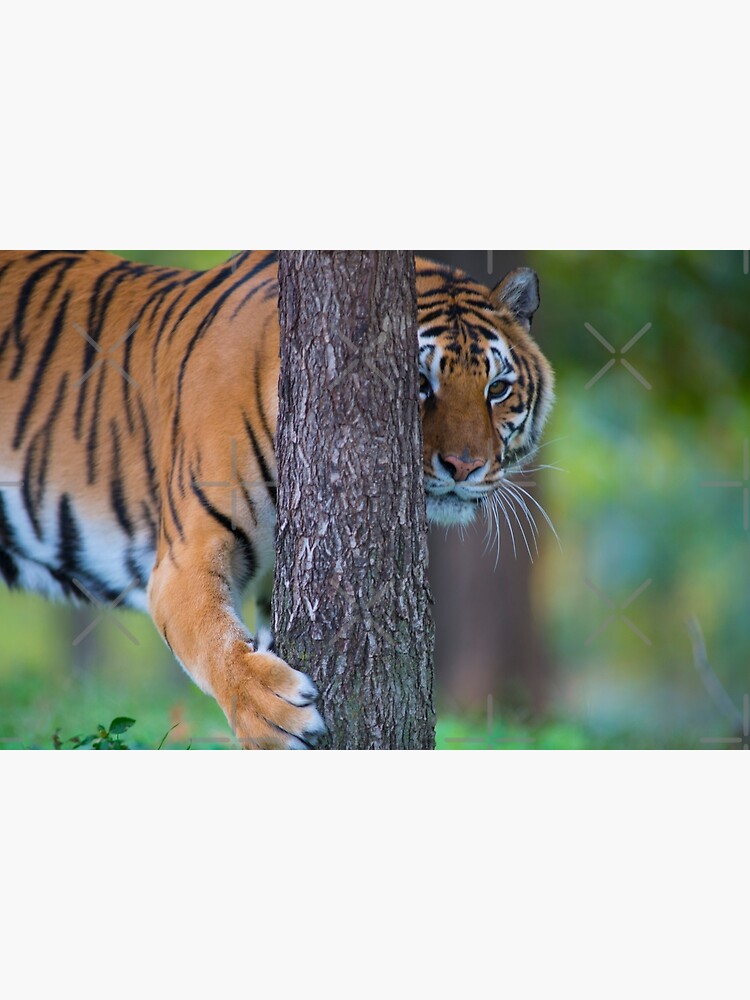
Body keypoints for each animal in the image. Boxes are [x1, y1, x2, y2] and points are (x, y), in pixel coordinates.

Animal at [0, 251, 554, 748]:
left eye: (498, 389)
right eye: (418, 383)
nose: (464, 466)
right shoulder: (185, 556)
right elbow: (213, 636)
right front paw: (271, 710)